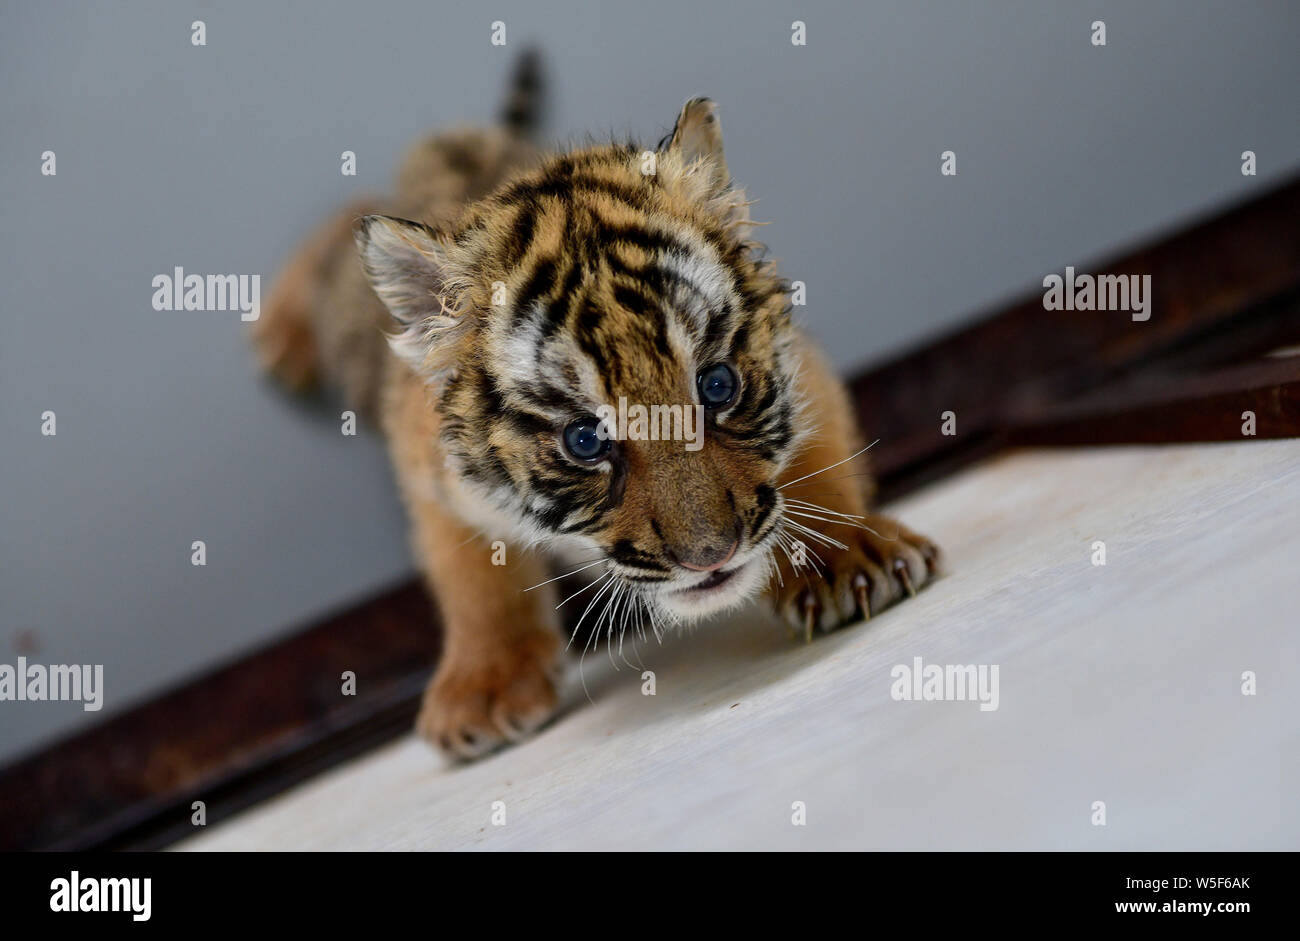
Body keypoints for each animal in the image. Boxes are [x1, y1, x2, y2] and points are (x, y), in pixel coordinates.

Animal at [254, 52, 940, 760]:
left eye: (717, 386)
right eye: (584, 440)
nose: (711, 557)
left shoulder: (797, 360)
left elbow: (818, 459)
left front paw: (848, 557)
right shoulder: (429, 471)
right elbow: (469, 574)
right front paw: (485, 687)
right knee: (346, 223)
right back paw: (281, 331)